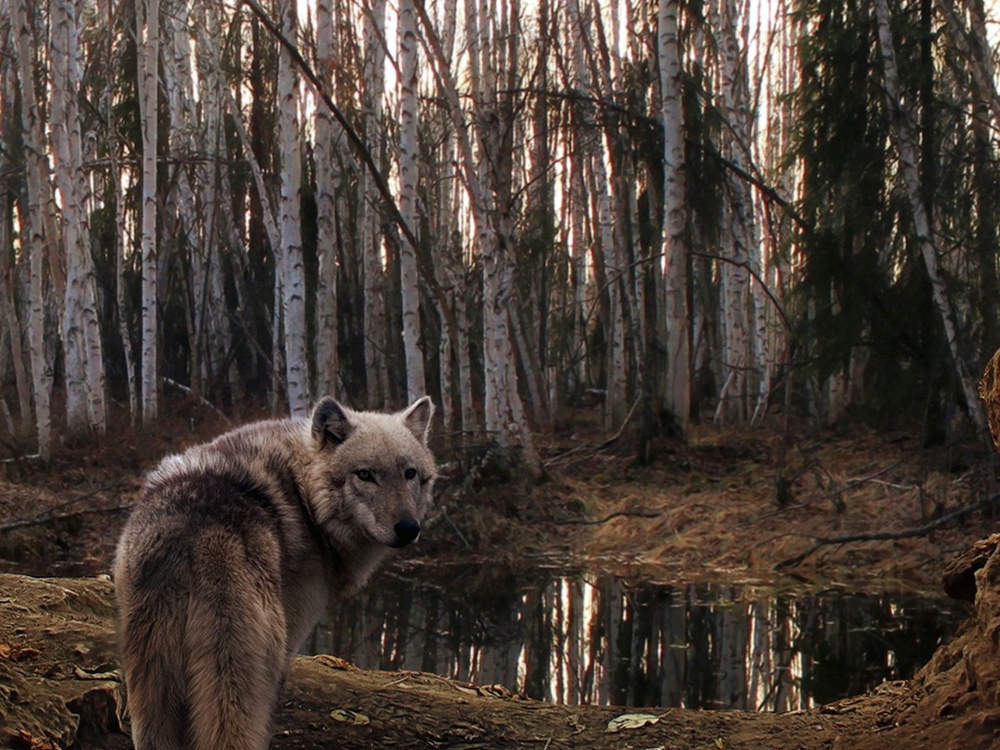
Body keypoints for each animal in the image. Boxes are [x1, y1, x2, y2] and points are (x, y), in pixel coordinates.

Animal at [113, 396, 435, 750]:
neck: (304, 497)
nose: (408, 528)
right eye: (365, 475)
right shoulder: (292, 638)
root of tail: (199, 532)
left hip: (151, 680)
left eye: (409, 474)